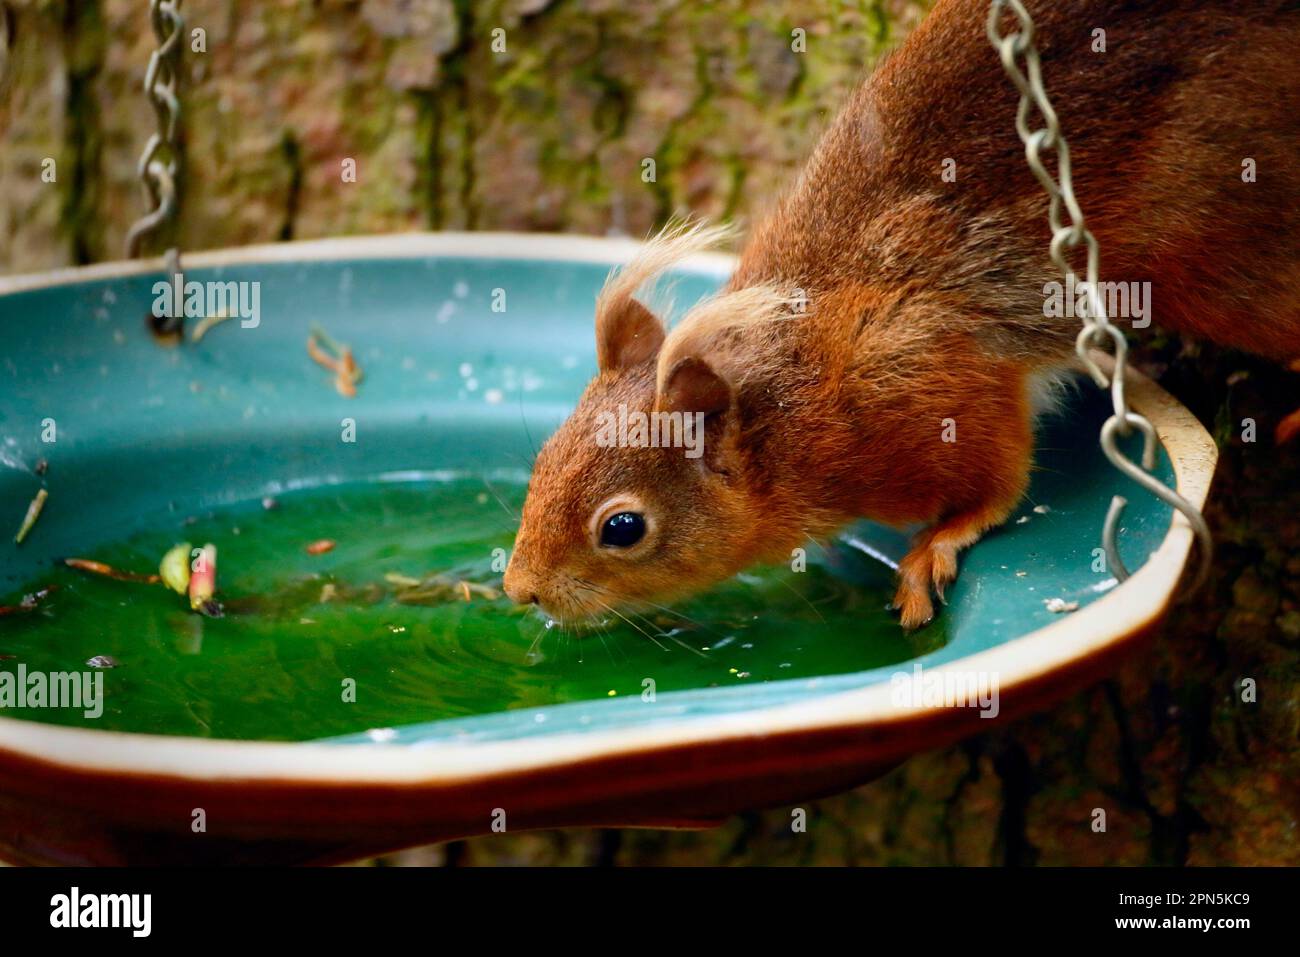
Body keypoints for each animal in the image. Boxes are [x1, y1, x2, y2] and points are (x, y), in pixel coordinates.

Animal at [503, 0, 1300, 630]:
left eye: (623, 527)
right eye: (541, 460)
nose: (520, 591)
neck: (796, 407)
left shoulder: (931, 382)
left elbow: (997, 483)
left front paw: (933, 548)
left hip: (1223, 248)